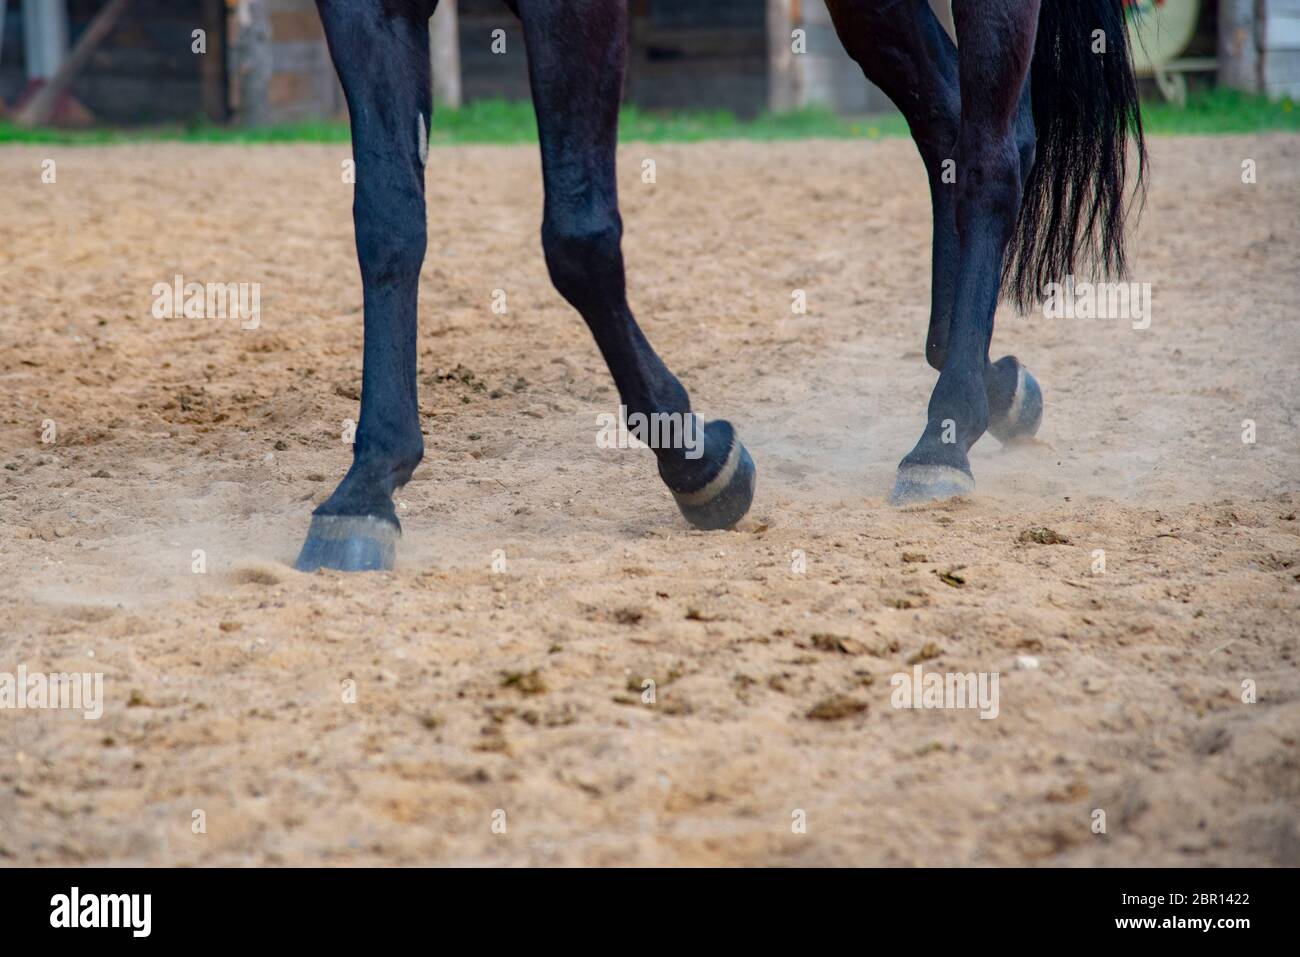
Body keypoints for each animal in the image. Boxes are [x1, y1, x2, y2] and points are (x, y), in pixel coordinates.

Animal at [295, 0, 1146, 572]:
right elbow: (388, 221)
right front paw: (365, 490)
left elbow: (577, 238)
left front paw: (698, 460)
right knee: (946, 121)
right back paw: (988, 385)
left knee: (991, 158)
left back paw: (943, 437)